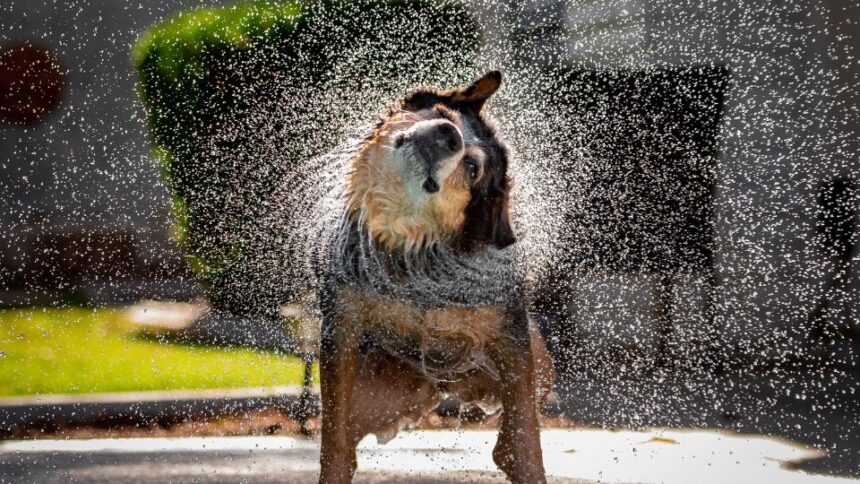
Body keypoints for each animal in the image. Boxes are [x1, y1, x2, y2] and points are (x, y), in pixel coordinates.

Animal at [320, 72, 556, 484]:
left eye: (473, 168)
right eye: (443, 114)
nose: (449, 135)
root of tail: (443, 386)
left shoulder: (511, 334)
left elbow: (524, 433)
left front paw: (522, 459)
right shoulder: (342, 325)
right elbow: (335, 434)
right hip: (383, 395)